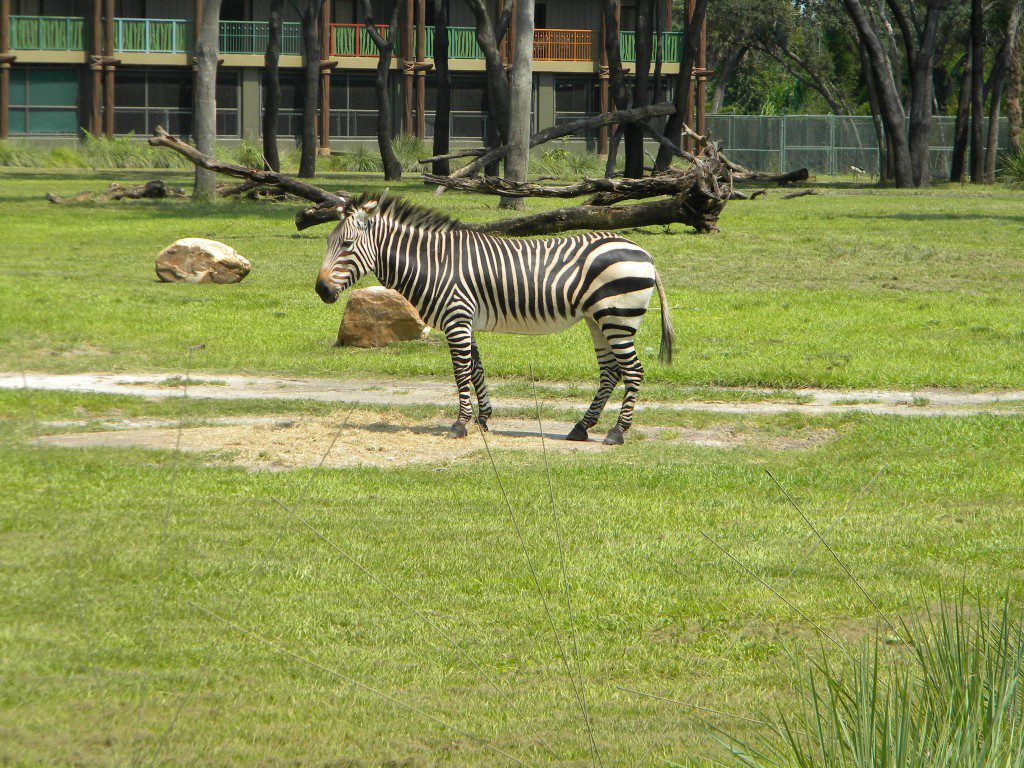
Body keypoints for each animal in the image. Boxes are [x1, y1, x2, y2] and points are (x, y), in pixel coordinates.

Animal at [314, 192, 674, 445]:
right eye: (328, 241)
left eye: (347, 244)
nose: (320, 290)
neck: (435, 262)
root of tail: (644, 252)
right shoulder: (464, 320)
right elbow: (476, 369)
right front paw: (483, 418)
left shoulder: (456, 317)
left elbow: (461, 372)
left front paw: (460, 424)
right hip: (597, 319)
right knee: (610, 372)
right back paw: (581, 427)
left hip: (617, 317)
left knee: (633, 370)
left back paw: (617, 433)